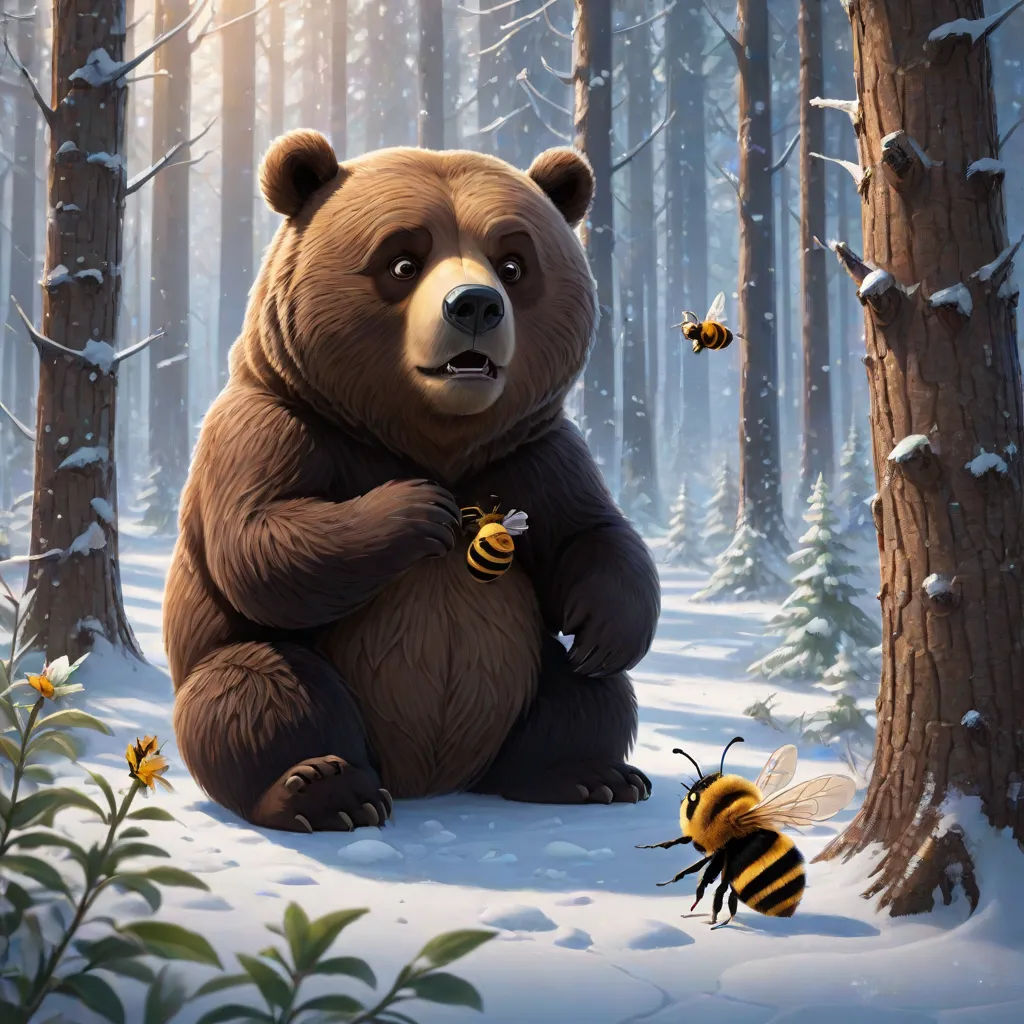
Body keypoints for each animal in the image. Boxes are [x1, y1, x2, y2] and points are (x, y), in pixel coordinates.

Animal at [163, 130, 661, 832]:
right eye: (402, 261)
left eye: (514, 264)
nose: (476, 304)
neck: (430, 440)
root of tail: (437, 780)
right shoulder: (271, 428)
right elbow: (261, 542)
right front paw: (420, 510)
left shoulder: (532, 452)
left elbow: (591, 531)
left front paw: (605, 629)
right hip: (287, 677)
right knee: (257, 689)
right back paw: (323, 787)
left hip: (530, 677)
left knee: (588, 697)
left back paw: (587, 773)